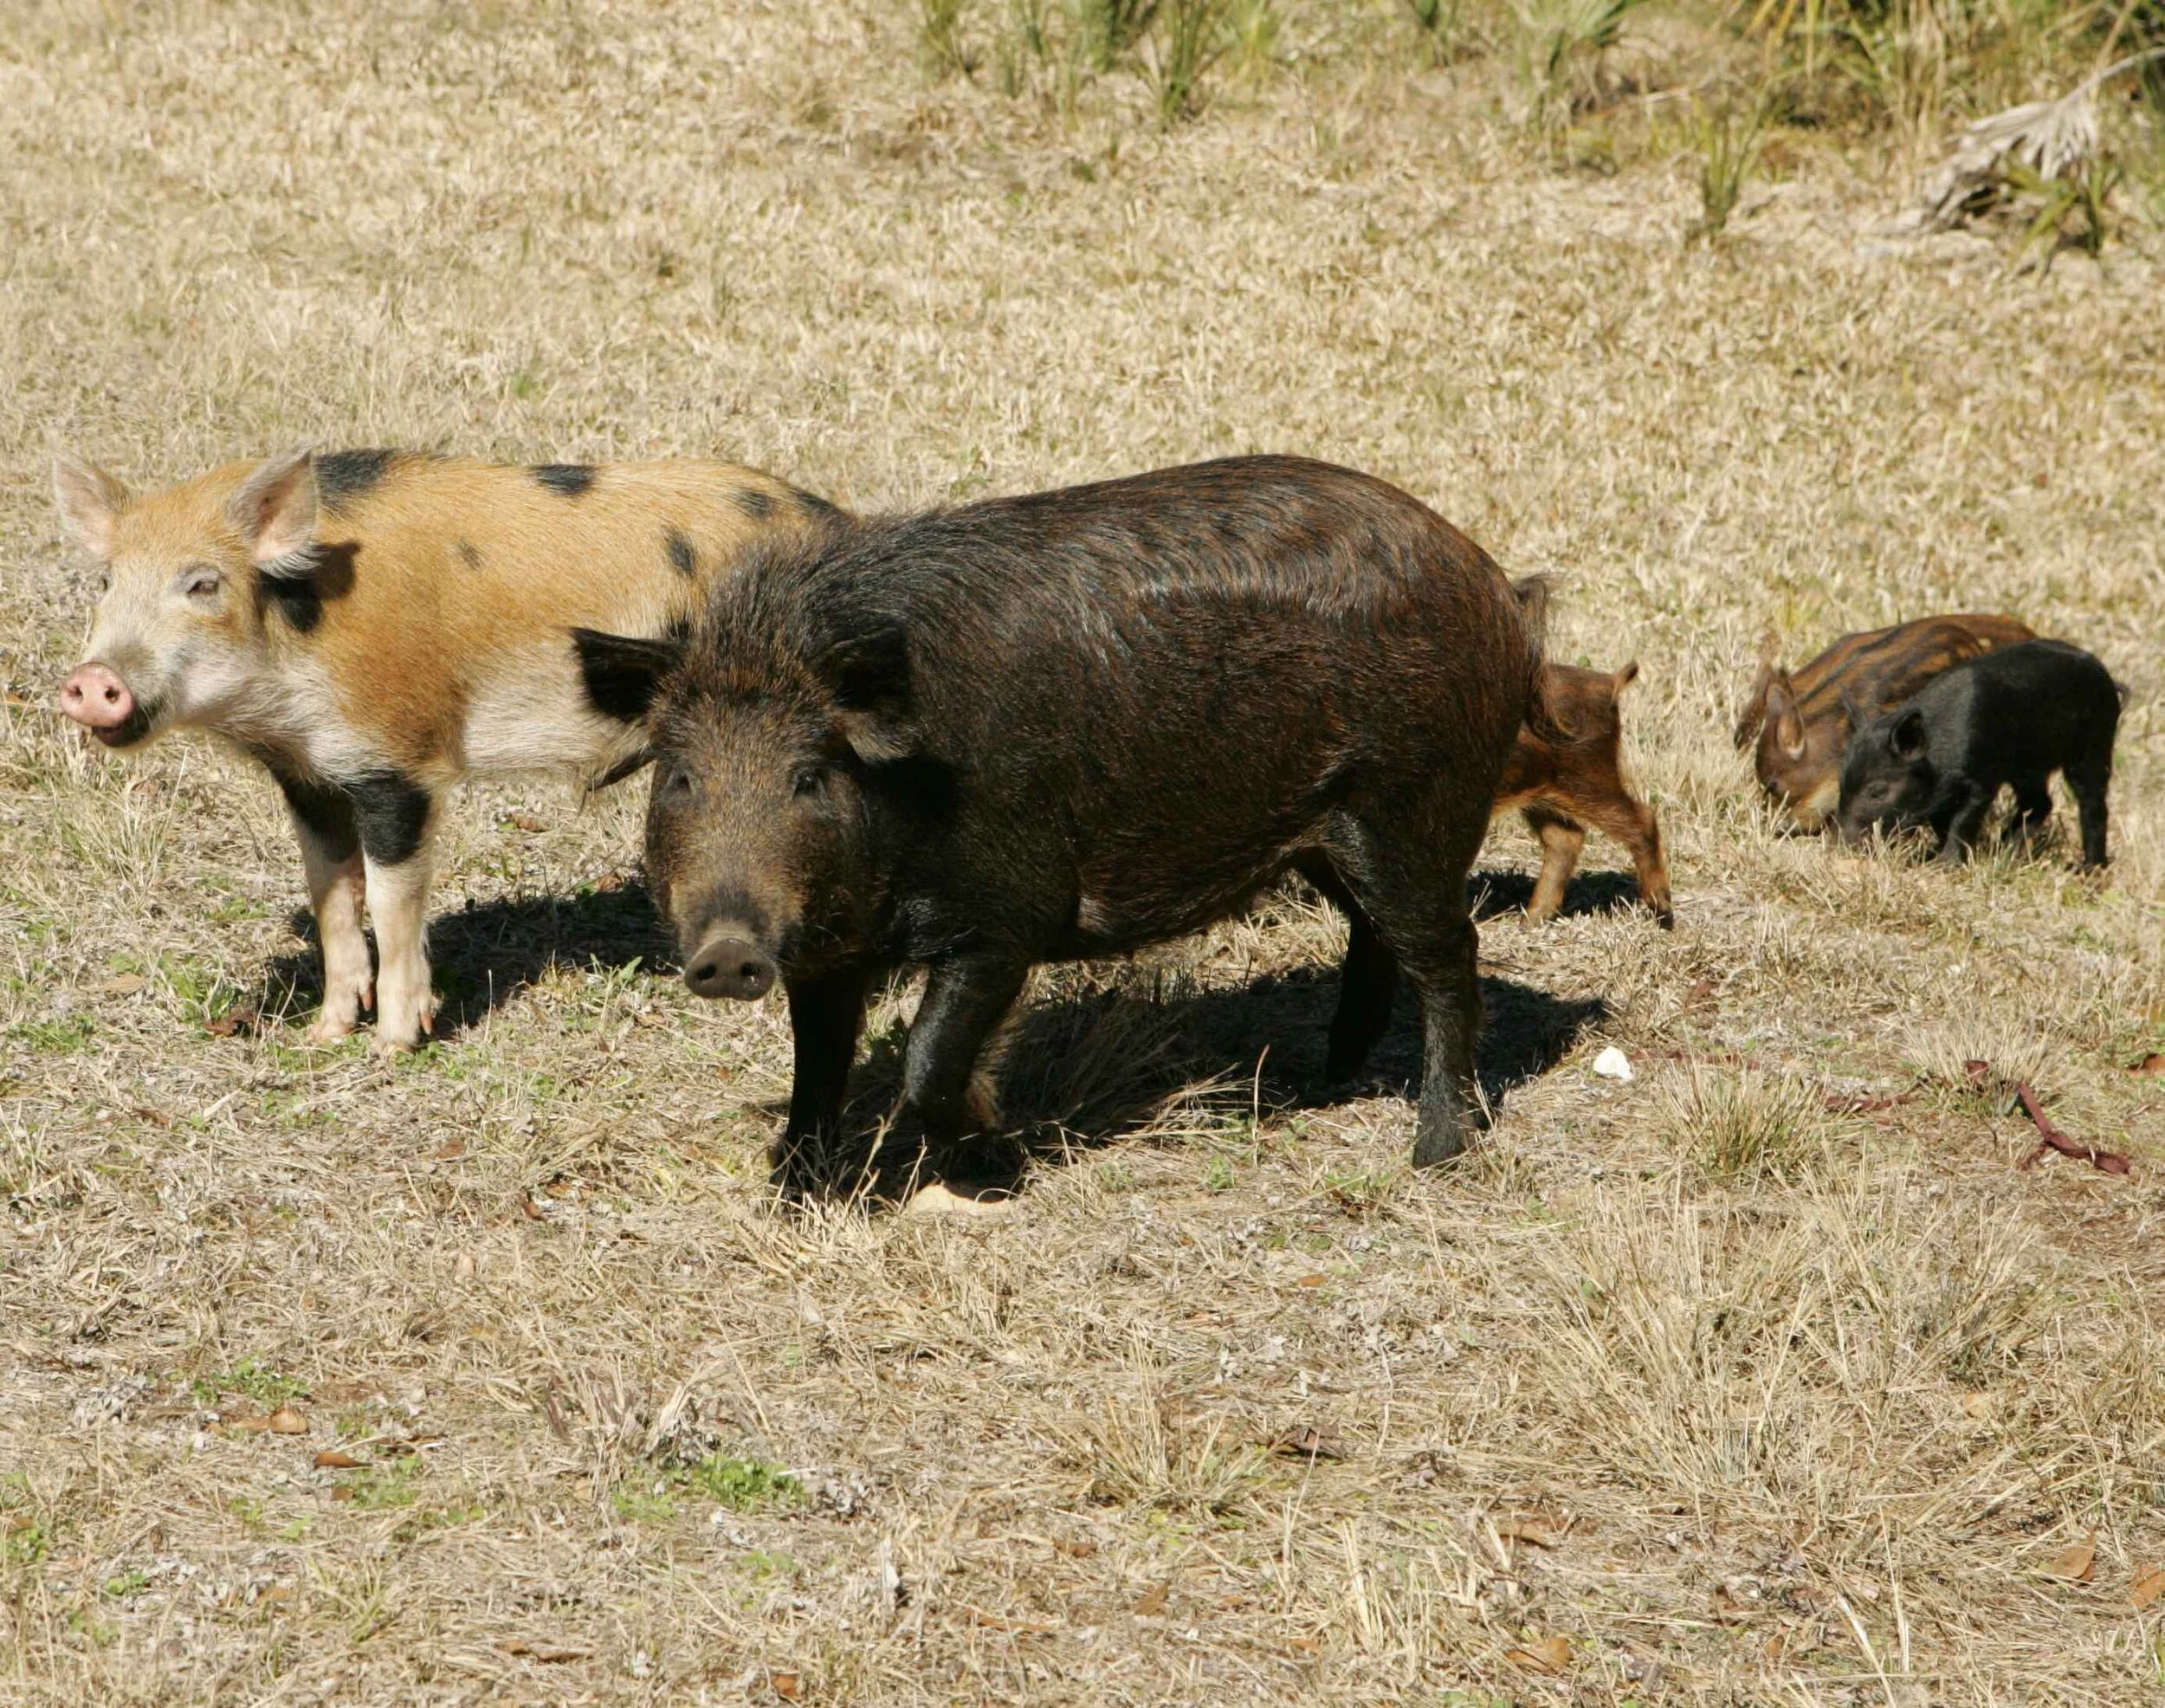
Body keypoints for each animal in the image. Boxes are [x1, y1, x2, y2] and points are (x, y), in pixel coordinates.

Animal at [52, 447, 836, 1049]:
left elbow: (391, 900)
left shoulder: (399, 762)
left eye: (202, 583)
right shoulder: (307, 776)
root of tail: (836, 522)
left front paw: (395, 1046)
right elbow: (330, 895)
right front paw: (324, 1037)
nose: (92, 680)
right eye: (107, 582)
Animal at [575, 455, 1548, 1194]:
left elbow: (928, 1059)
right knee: (1373, 937)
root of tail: (1494, 584)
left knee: (1449, 954)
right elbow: (816, 1067)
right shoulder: (825, 951)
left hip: (1414, 809)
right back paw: (1326, 1074)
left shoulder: (1009, 917)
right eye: (681, 777)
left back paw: (1434, 1151)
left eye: (809, 776)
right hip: (1327, 836)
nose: (727, 953)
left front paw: (995, 1158)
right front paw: (794, 1192)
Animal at [1493, 659, 1673, 927]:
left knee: (1643, 818)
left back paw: (1664, 915)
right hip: (1546, 792)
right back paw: (1531, 920)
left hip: (1590, 777)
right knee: (1567, 837)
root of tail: (1610, 683)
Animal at [1835, 639, 2119, 869]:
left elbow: (1963, 819)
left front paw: (1945, 864)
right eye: (1842, 783)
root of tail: (2107, 677)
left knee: (2092, 802)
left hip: (2094, 745)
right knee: (2040, 802)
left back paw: (2087, 870)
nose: (1843, 842)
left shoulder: (1982, 777)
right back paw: (2004, 851)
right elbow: (1941, 822)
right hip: (2028, 767)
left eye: (1877, 791)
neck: (1939, 759)